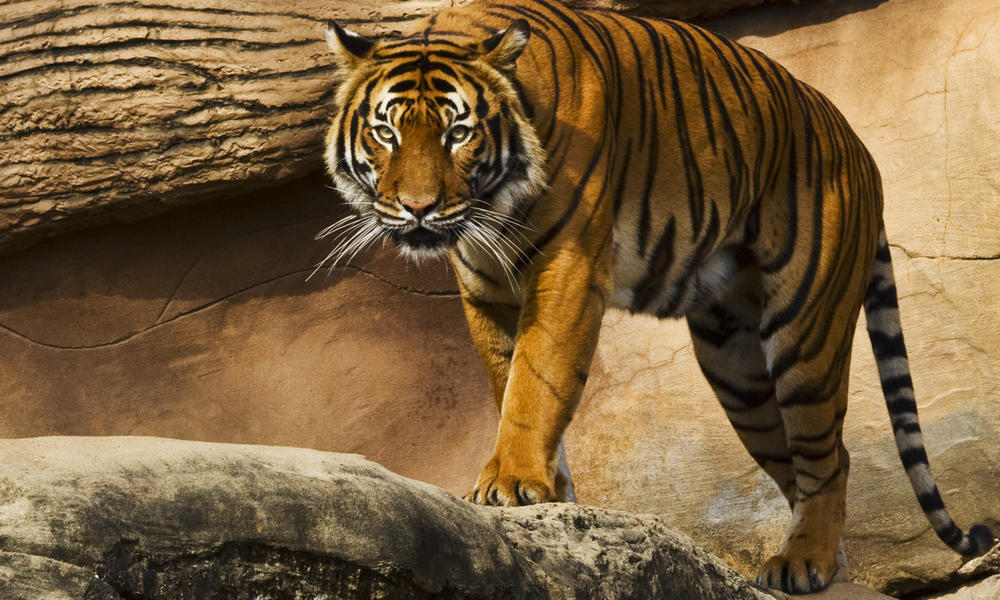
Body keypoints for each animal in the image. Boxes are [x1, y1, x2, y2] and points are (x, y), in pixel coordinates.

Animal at [319, 0, 995, 593]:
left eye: (458, 133)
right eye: (385, 132)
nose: (418, 208)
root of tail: (861, 150)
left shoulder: (568, 268)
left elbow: (536, 382)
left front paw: (512, 482)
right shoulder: (484, 285)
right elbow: (507, 378)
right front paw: (547, 495)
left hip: (806, 333)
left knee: (830, 457)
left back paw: (803, 563)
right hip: (738, 371)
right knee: (804, 462)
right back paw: (824, 564)